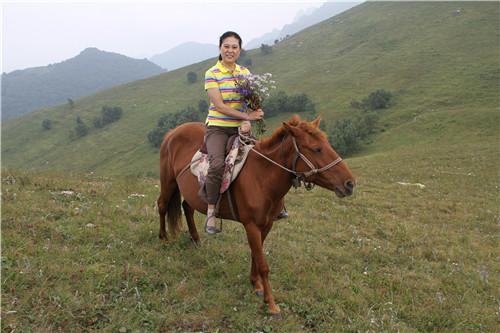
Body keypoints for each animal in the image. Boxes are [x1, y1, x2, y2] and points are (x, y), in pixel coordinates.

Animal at [158, 113, 354, 314]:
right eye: (317, 149)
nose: (349, 183)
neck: (262, 176)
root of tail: (172, 132)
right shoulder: (251, 225)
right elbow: (263, 264)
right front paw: (272, 304)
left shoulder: (267, 224)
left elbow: (255, 255)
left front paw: (256, 285)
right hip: (168, 181)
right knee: (162, 206)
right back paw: (163, 239)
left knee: (187, 207)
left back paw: (196, 241)